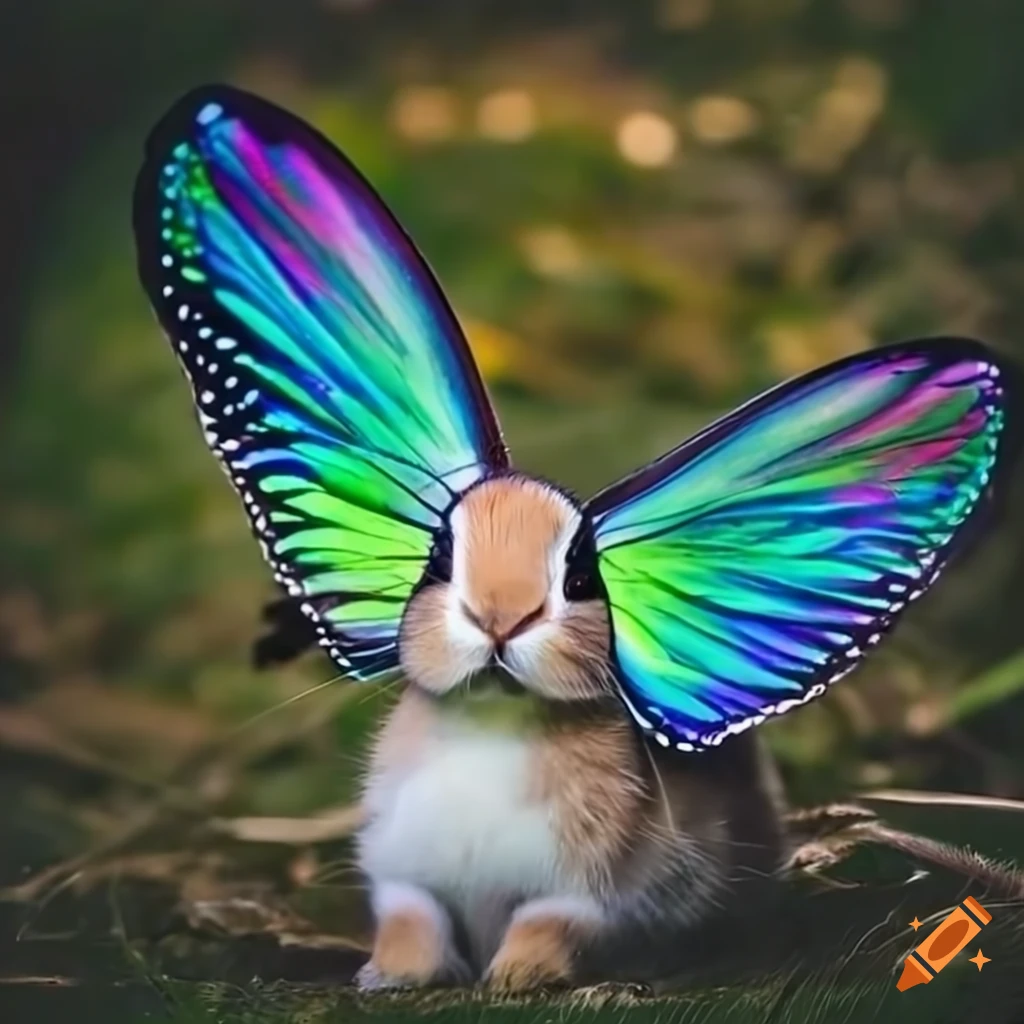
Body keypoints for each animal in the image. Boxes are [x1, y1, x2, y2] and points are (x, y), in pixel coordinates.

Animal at [354, 473, 786, 992]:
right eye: (440, 564)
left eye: (579, 581)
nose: (498, 618)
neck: (494, 723)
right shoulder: (404, 873)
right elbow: (412, 923)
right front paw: (389, 975)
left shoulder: (582, 888)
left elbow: (548, 924)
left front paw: (514, 976)